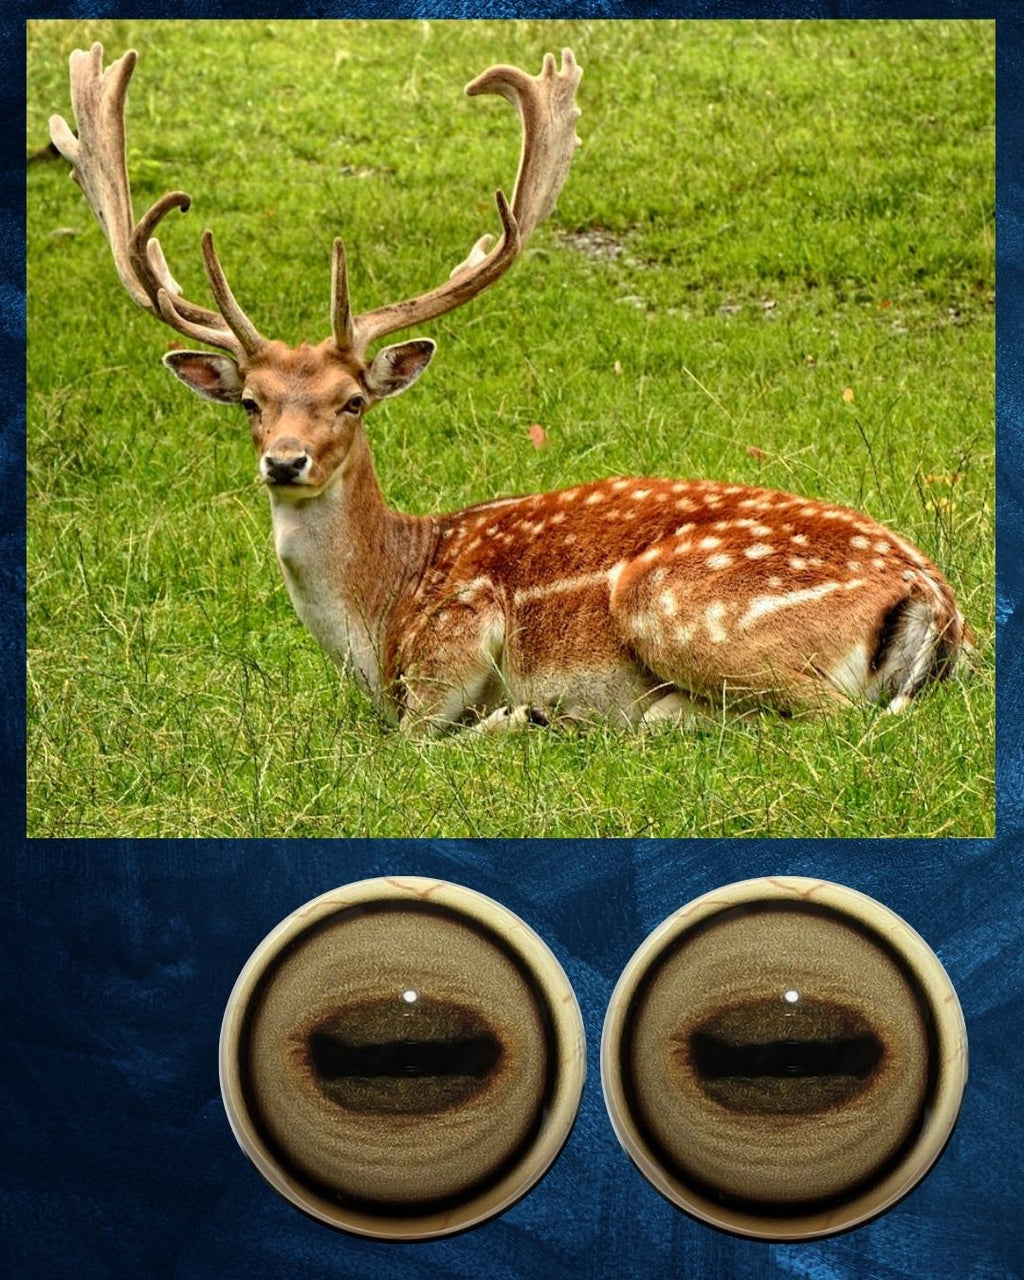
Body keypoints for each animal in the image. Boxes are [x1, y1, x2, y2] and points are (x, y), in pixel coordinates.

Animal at [49, 43, 968, 735]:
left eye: (353, 400)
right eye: (252, 402)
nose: (285, 461)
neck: (380, 616)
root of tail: (935, 600)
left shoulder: (455, 635)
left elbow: (416, 739)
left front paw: (514, 717)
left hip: (677, 604)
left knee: (827, 718)